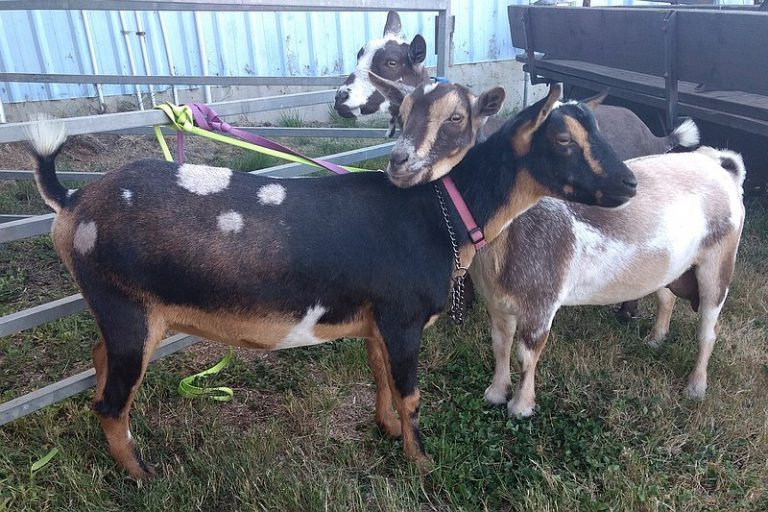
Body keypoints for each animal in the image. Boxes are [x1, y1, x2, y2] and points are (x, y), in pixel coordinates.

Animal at [25, 82, 636, 479]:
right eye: (562, 139)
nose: (629, 184)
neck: (435, 212)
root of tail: (73, 202)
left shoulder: (376, 320)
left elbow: (381, 376)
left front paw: (388, 431)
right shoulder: (403, 317)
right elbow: (411, 391)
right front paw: (421, 461)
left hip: (120, 313)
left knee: (99, 364)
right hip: (128, 312)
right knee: (112, 404)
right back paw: (142, 474)